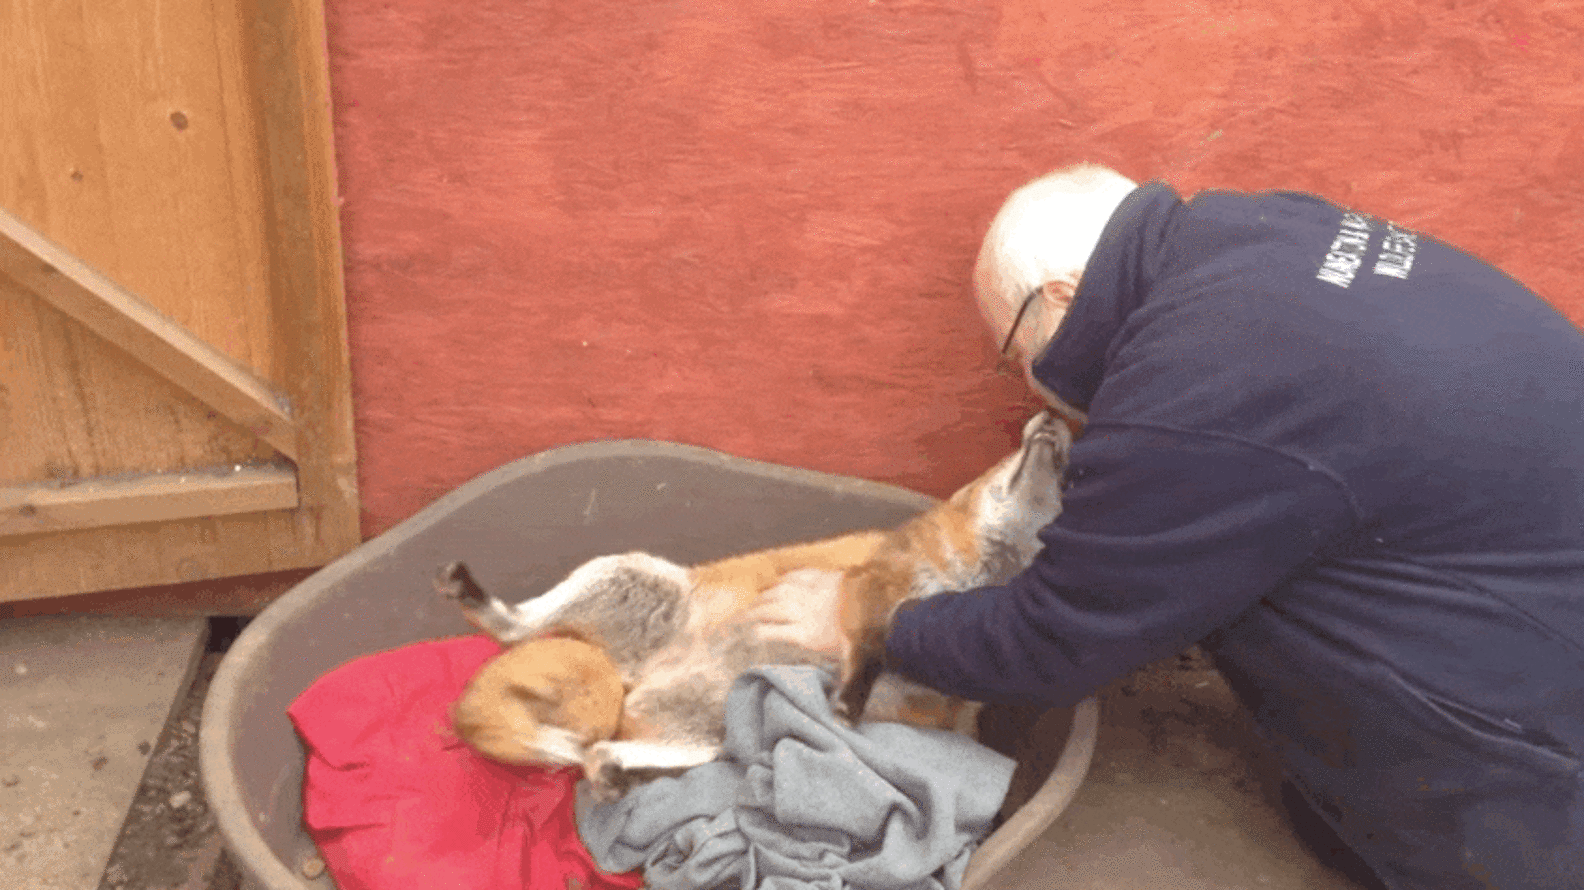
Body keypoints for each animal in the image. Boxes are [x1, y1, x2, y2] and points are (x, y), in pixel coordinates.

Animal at [440, 410, 1071, 795]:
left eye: (1072, 461)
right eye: (1005, 463)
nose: (1051, 421)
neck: (976, 582)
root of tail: (631, 680)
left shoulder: (948, 691)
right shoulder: (875, 579)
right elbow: (875, 637)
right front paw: (854, 691)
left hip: (719, 738)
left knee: (599, 752)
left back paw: (613, 770)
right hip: (623, 573)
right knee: (514, 633)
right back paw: (481, 602)